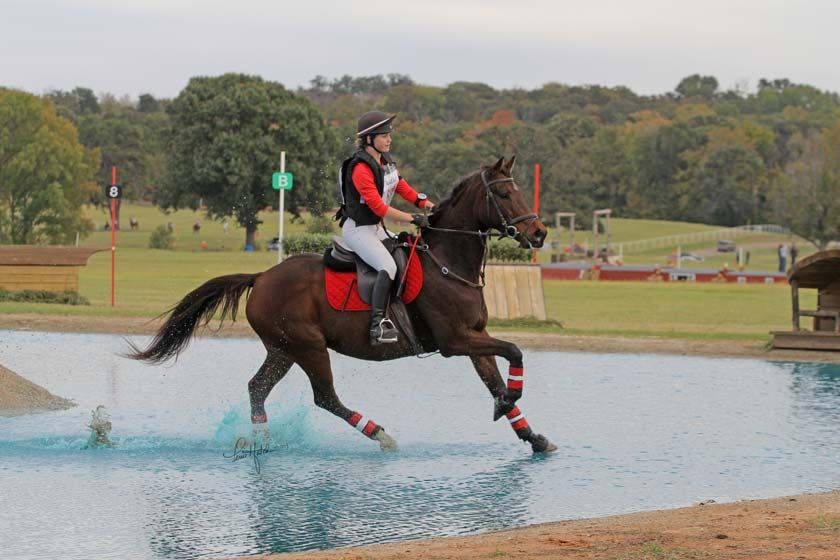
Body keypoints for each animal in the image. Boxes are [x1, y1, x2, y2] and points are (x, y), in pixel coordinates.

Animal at [129, 157, 557, 454]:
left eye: (518, 190)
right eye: (504, 194)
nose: (539, 233)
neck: (447, 261)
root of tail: (262, 277)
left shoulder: (475, 335)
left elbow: (496, 377)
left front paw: (531, 434)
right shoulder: (455, 340)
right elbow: (515, 352)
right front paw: (510, 401)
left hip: (283, 349)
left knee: (257, 389)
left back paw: (264, 441)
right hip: (309, 346)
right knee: (325, 397)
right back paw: (379, 434)